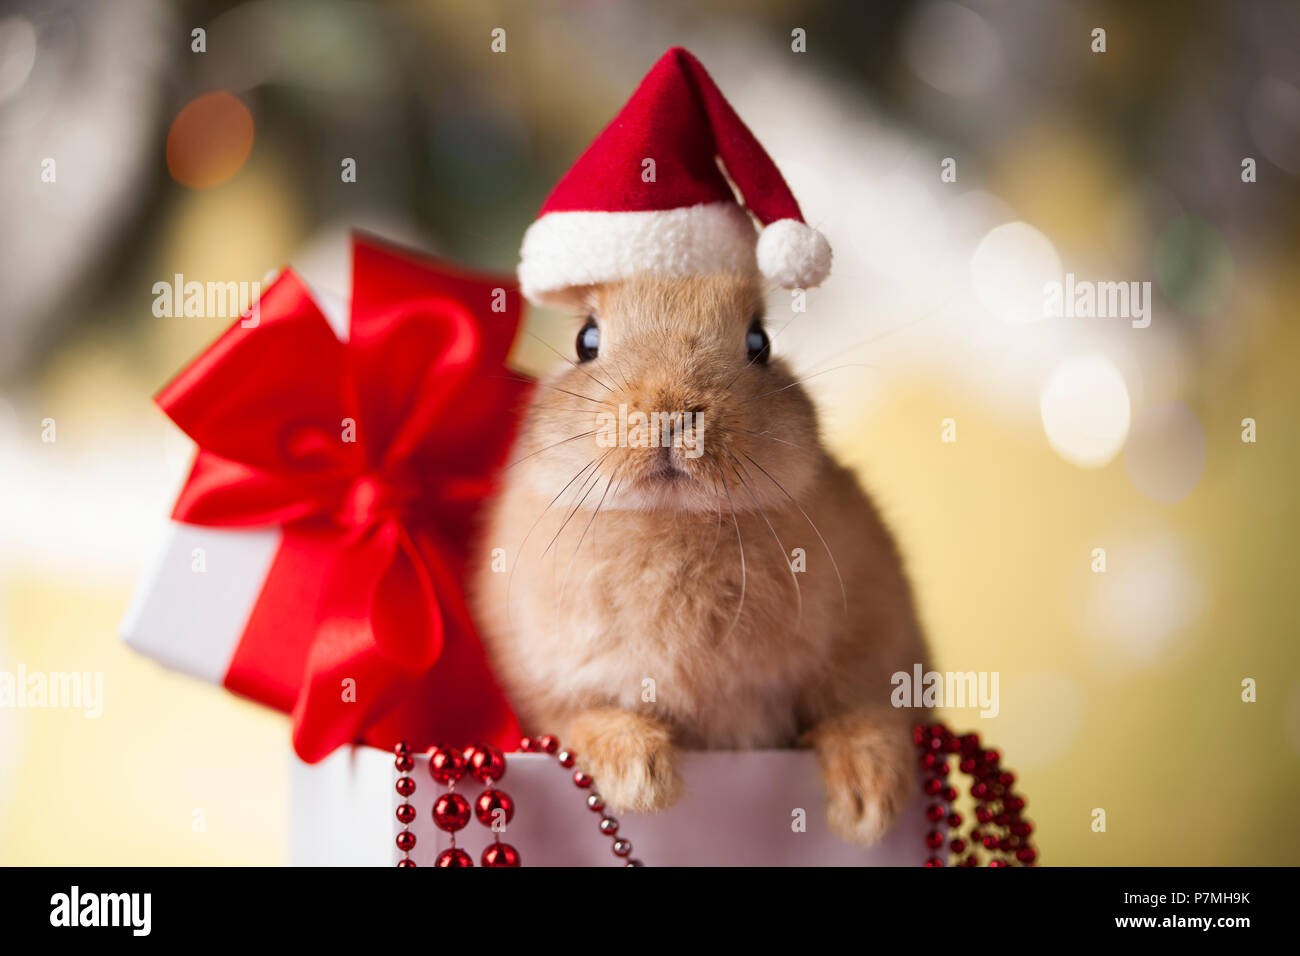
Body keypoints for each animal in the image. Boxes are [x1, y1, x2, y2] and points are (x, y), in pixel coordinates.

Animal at [471, 271, 929, 846]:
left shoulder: (874, 645)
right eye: (586, 341)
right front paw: (640, 777)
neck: (674, 517)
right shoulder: (547, 688)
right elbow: (580, 716)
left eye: (760, 343)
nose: (672, 411)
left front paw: (869, 799)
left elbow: (861, 709)